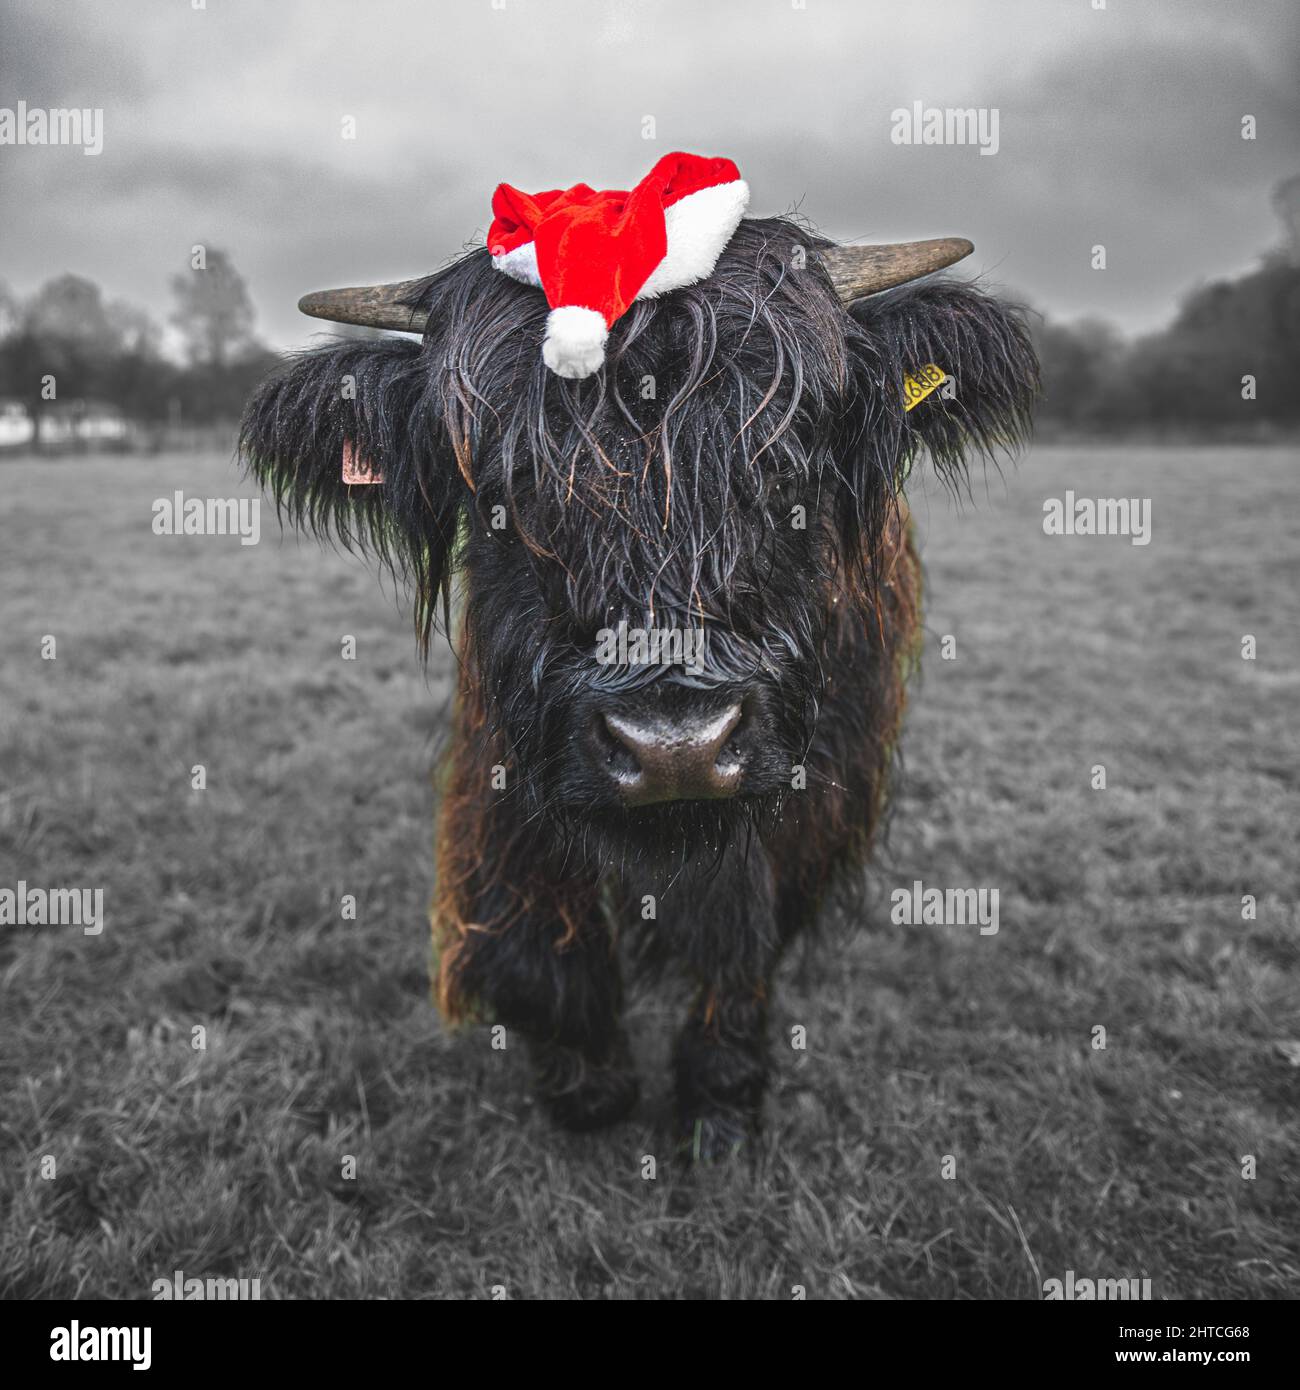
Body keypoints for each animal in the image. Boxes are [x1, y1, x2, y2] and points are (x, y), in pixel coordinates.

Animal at [240, 153, 1037, 1158]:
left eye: (784, 464)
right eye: (504, 489)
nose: (673, 746)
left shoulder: (814, 774)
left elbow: (744, 927)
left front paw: (720, 1098)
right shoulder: (510, 747)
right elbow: (535, 933)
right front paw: (588, 1087)